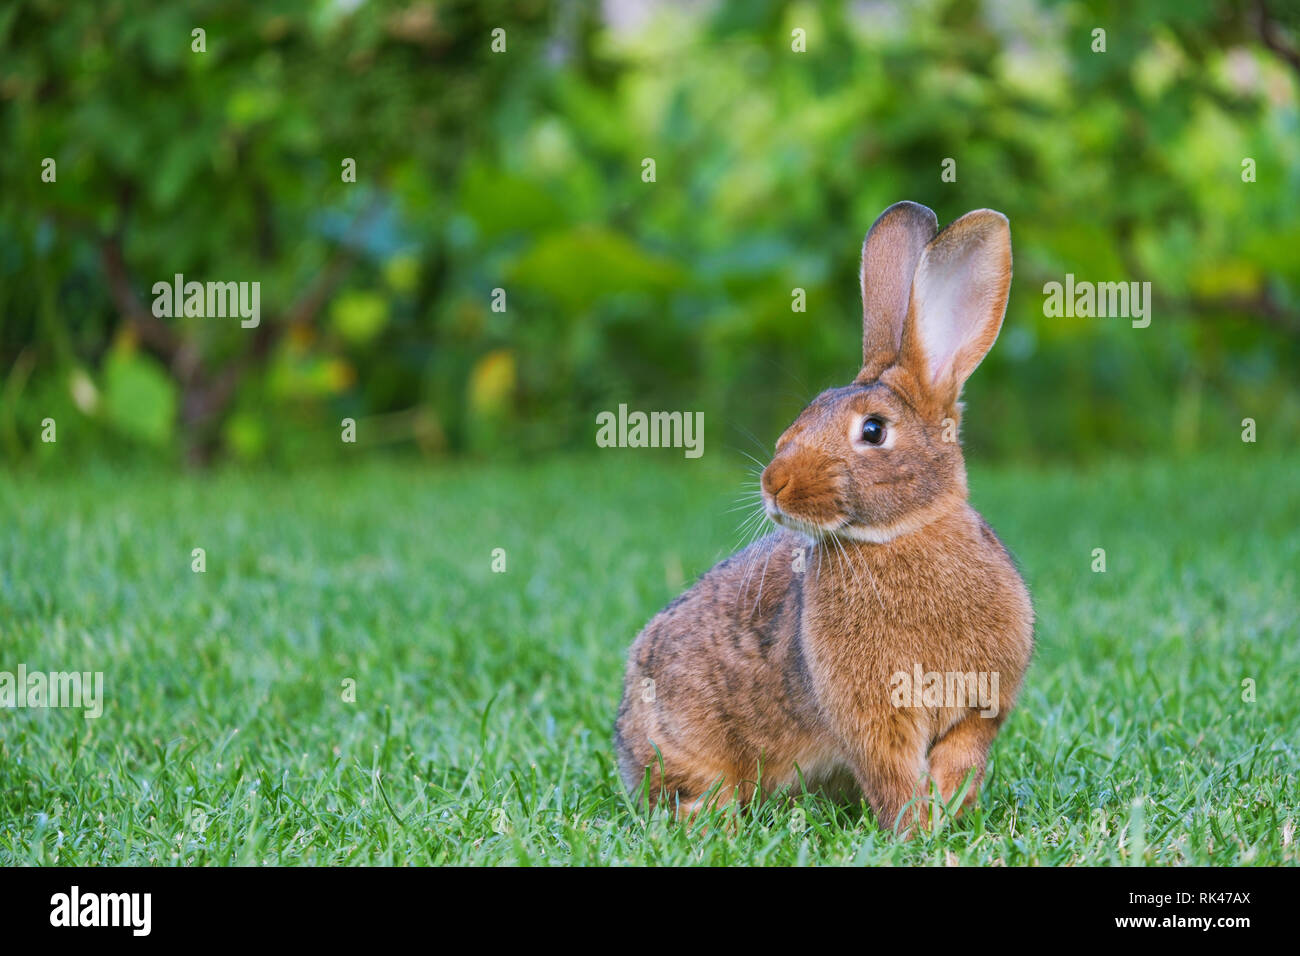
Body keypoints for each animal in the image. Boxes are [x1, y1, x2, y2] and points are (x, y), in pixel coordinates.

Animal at [614, 201, 1034, 834]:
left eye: (874, 430)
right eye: (807, 410)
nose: (773, 483)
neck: (899, 534)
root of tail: (625, 742)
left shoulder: (980, 708)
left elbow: (962, 758)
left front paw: (945, 815)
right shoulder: (872, 720)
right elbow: (891, 774)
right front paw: (917, 829)